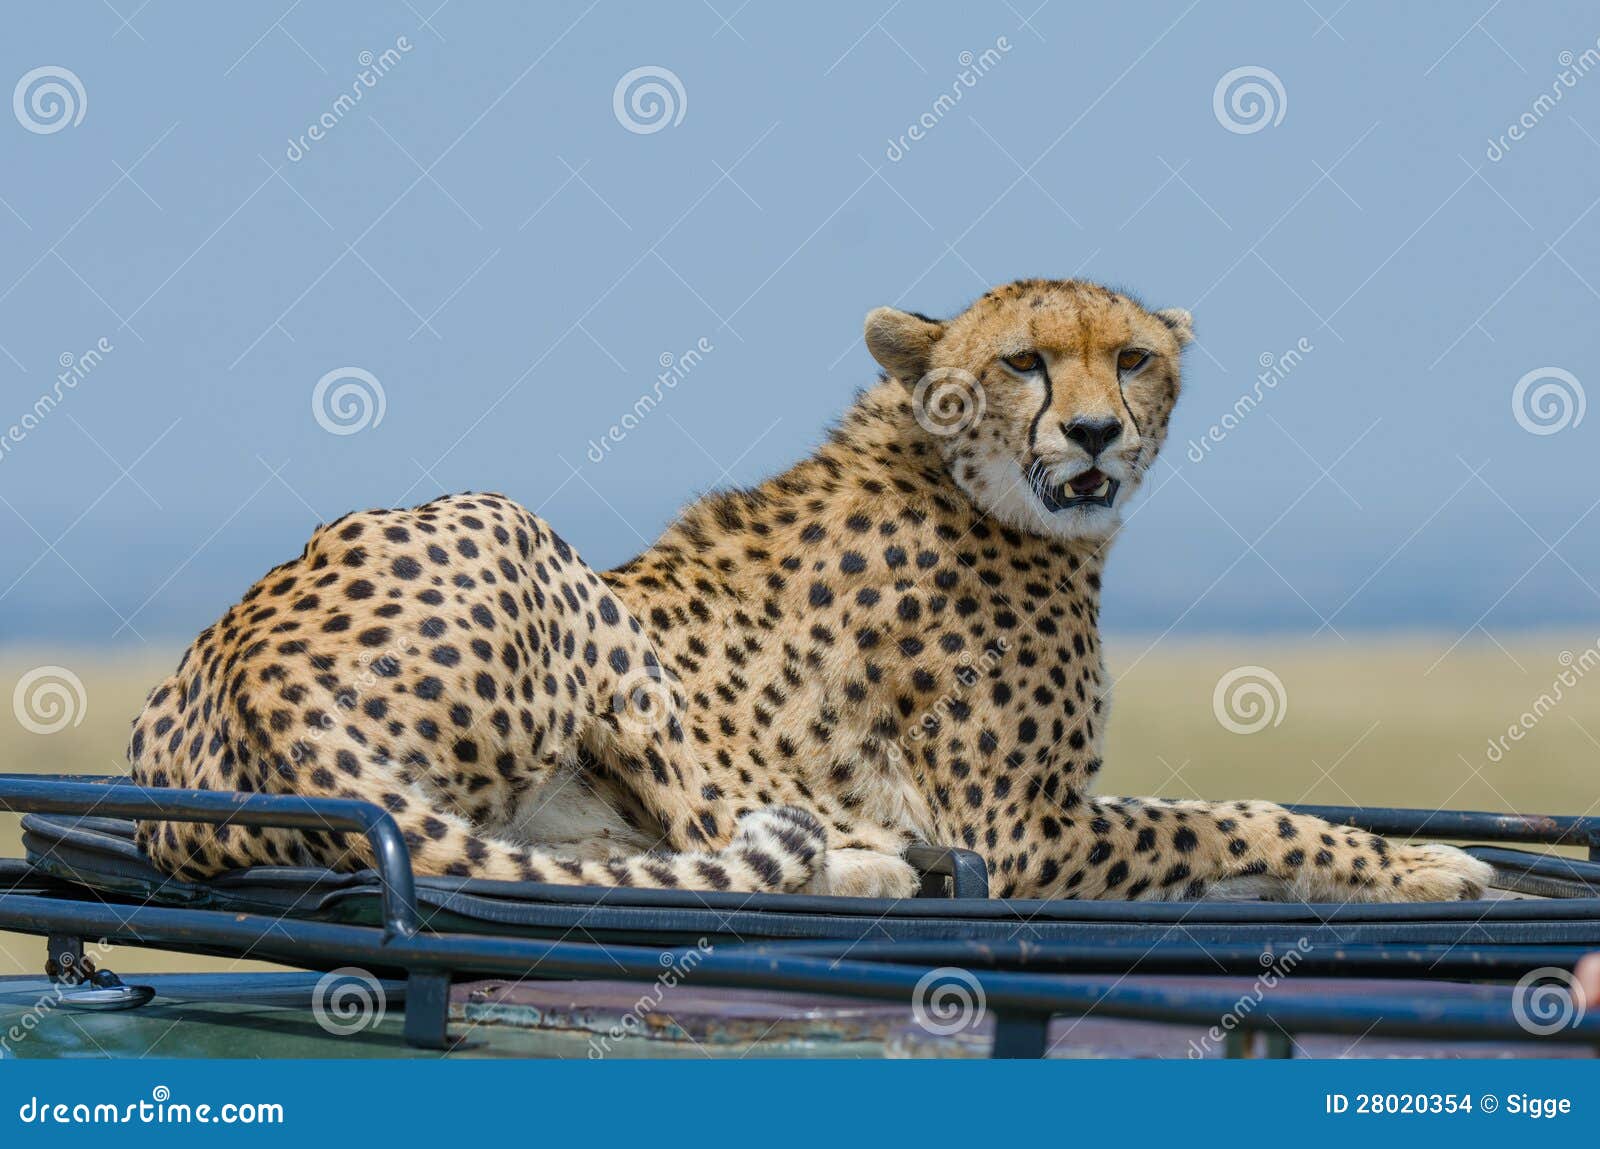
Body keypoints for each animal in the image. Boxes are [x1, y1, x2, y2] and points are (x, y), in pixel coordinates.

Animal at [128, 278, 1493, 904]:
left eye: (1135, 358)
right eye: (1025, 361)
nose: (1097, 432)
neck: (954, 466)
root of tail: (245, 669)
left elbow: (1218, 820)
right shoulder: (1021, 831)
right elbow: (1228, 817)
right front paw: (1424, 866)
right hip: (524, 540)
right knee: (705, 822)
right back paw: (866, 867)